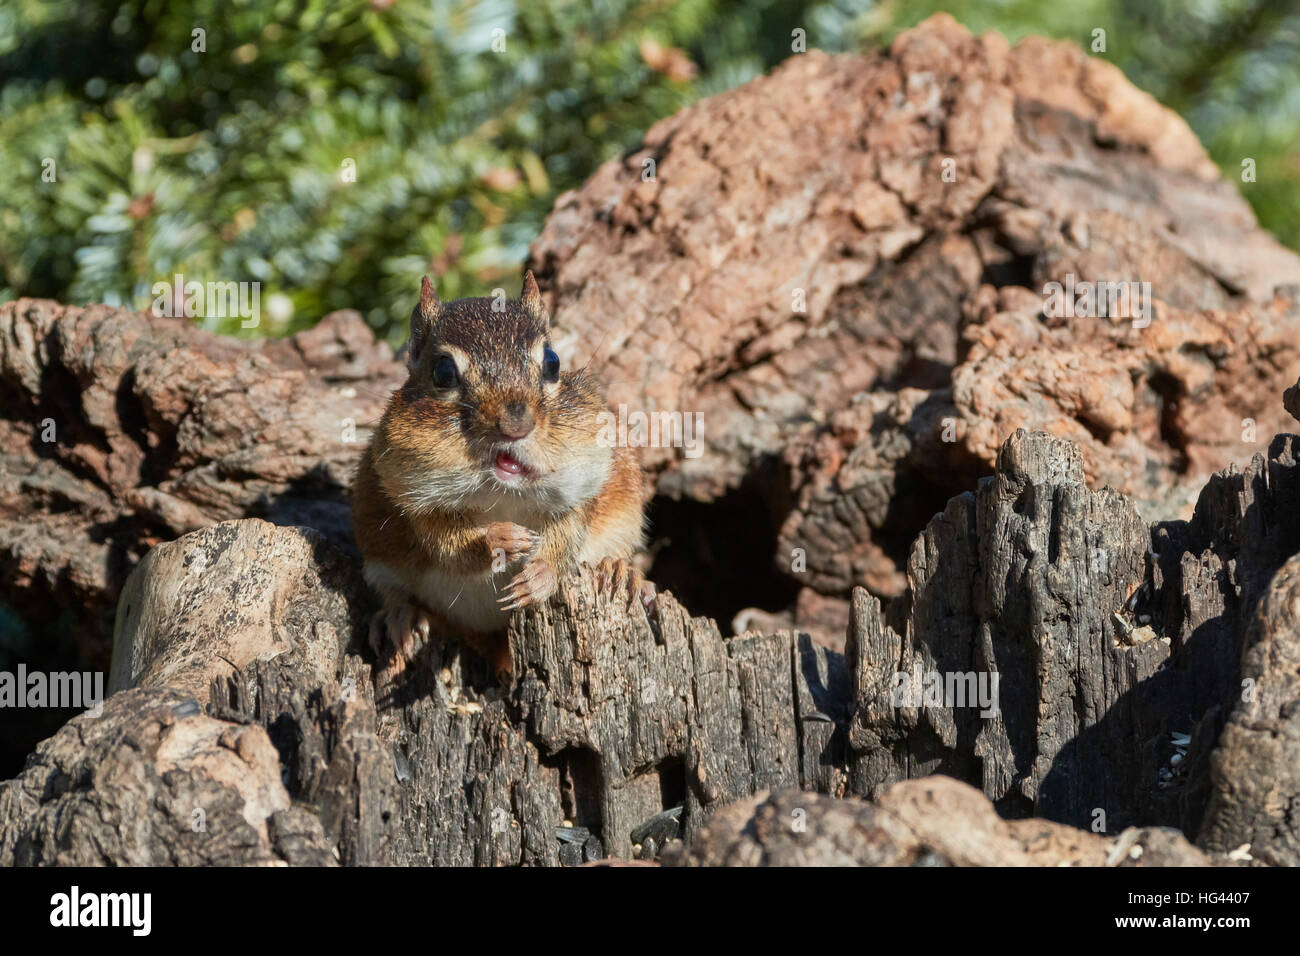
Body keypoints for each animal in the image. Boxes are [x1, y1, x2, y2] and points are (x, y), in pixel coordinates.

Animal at [352, 271, 655, 680]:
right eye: (443, 372)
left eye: (553, 362)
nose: (516, 426)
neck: (503, 494)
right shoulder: (417, 504)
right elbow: (448, 545)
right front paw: (502, 539)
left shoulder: (579, 489)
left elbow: (567, 537)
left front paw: (539, 575)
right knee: (395, 593)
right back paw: (402, 618)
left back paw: (621, 573)